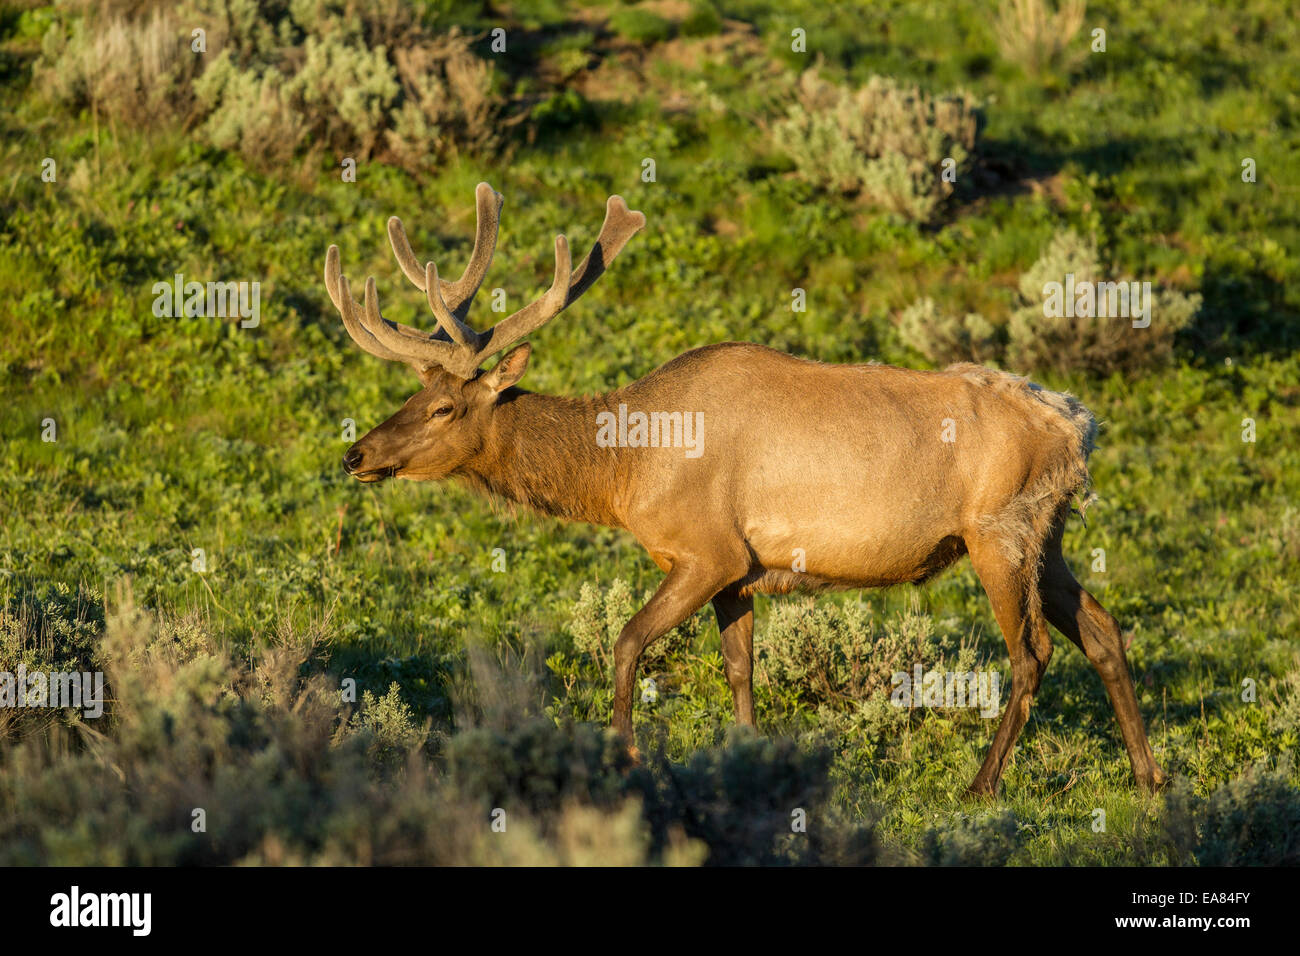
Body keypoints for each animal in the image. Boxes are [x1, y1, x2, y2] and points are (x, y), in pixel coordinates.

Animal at [323, 183, 1168, 796]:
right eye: (415, 391)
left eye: (443, 407)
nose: (357, 454)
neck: (626, 469)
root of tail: (1080, 426)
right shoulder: (743, 572)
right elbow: (740, 669)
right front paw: (747, 758)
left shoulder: (708, 552)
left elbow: (627, 643)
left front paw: (625, 760)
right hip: (1048, 535)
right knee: (1102, 629)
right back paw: (1149, 777)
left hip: (1001, 531)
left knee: (1031, 654)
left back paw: (982, 786)